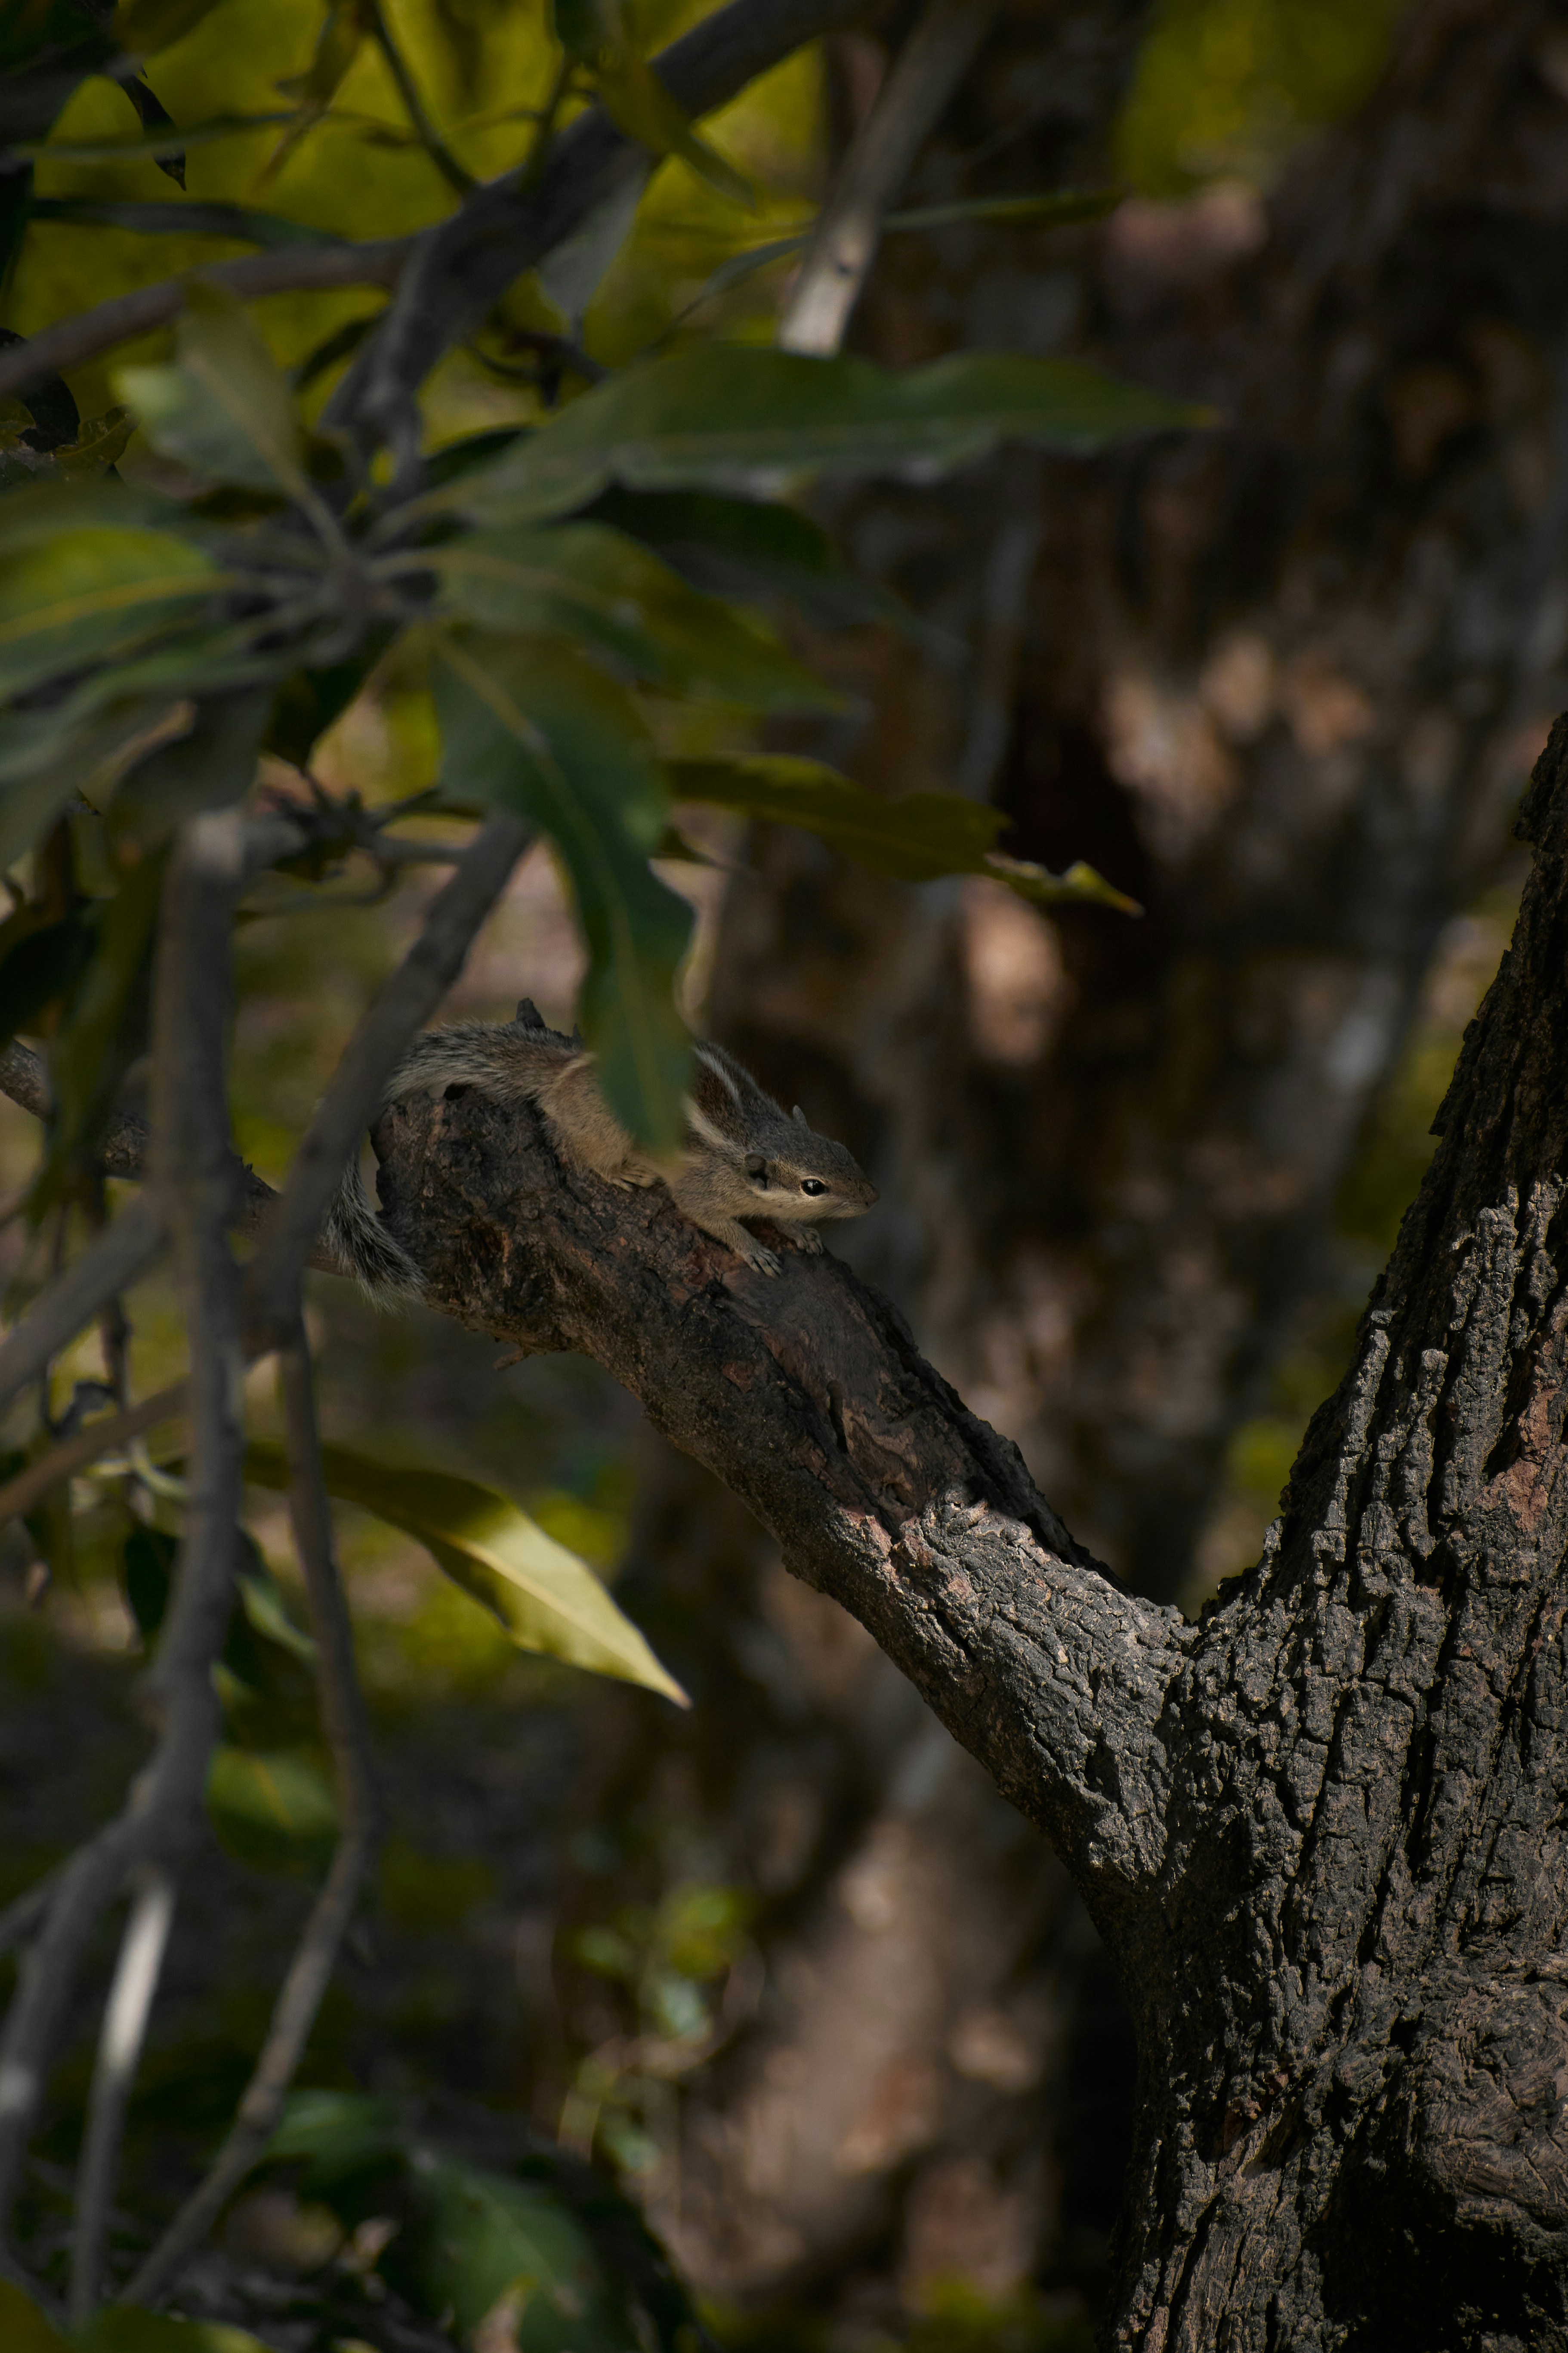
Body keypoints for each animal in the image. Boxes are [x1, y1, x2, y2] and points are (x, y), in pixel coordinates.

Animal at [324, 999, 878, 1298]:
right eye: (813, 1186)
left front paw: (799, 1233)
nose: (872, 1198)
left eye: (843, 1151)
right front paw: (754, 1248)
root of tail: (566, 1074)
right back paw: (621, 1173)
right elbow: (709, 1219)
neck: (752, 1135)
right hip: (607, 1131)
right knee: (575, 1143)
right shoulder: (700, 1188)